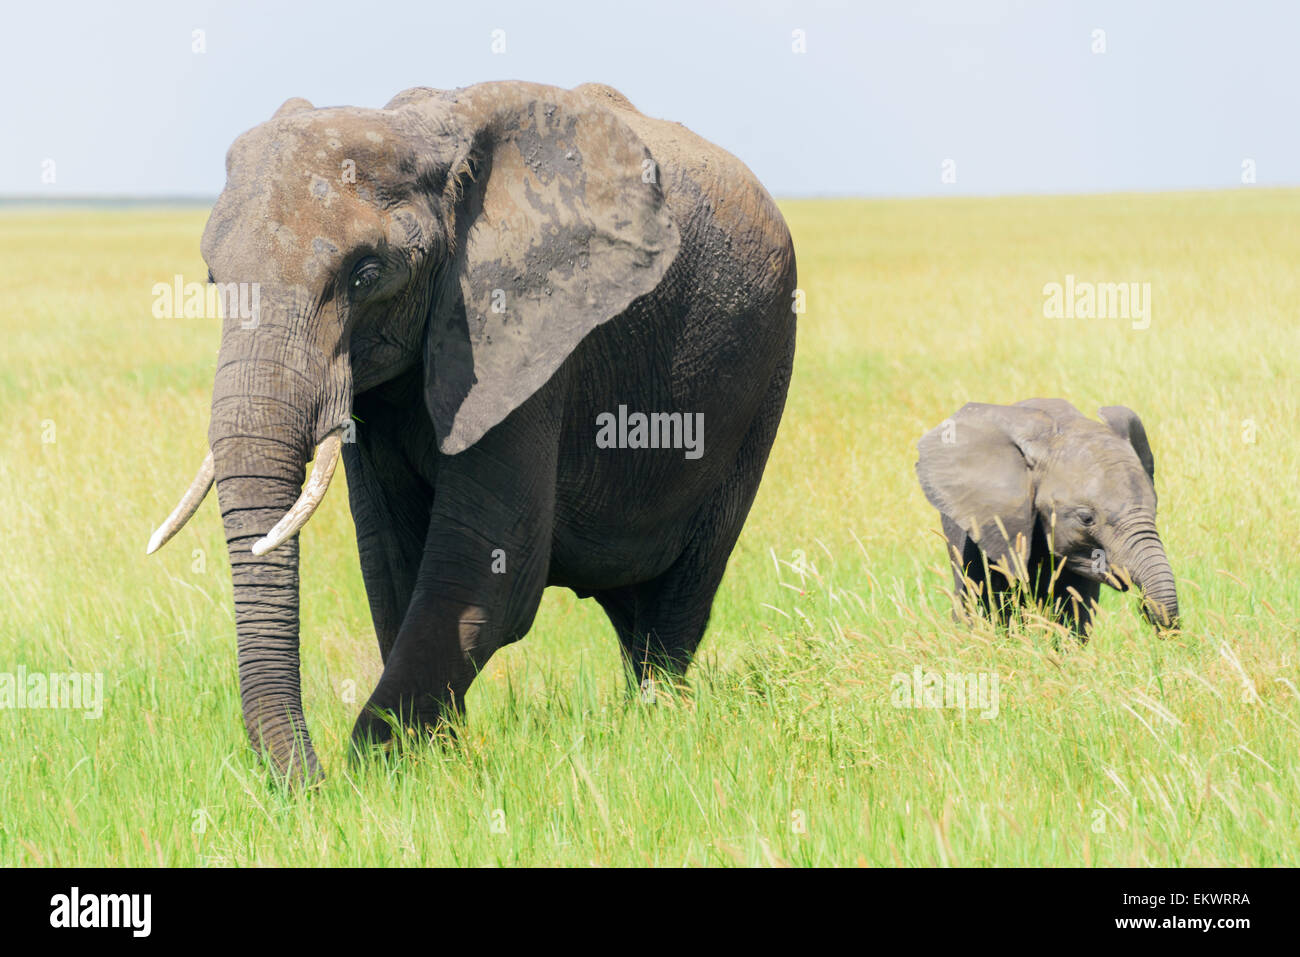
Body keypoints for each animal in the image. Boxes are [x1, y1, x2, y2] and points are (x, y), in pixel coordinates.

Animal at [147, 81, 798, 783]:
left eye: (367, 274)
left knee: (682, 593)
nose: (309, 785)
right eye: (213, 279)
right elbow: (392, 564)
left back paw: (657, 722)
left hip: (764, 376)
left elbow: (488, 566)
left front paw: (375, 768)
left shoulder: (525, 332)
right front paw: (434, 761)